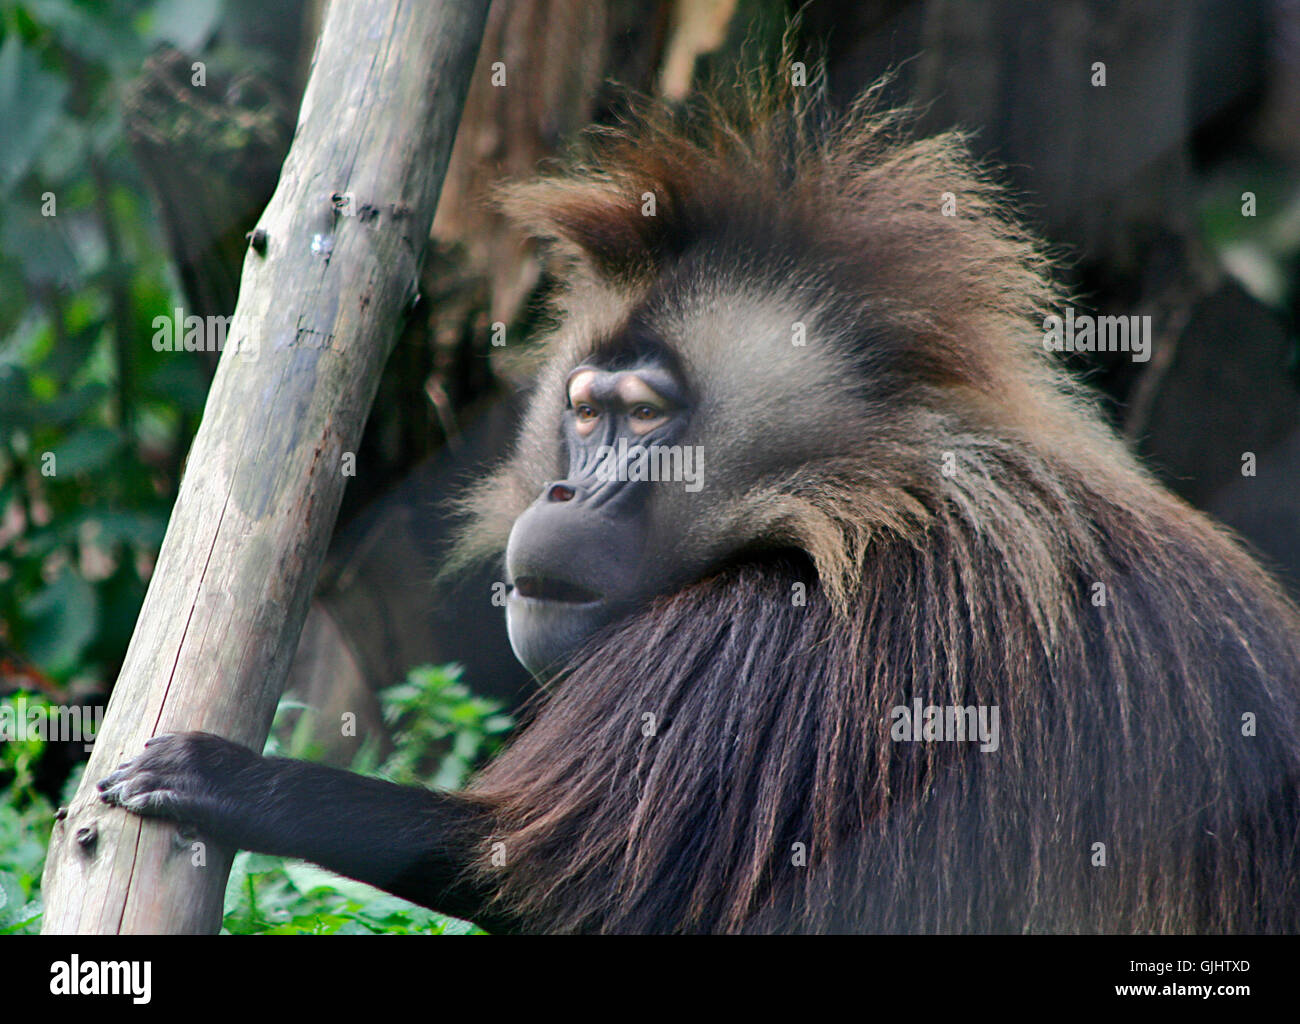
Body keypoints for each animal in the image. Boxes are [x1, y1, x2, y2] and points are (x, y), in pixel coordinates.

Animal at [98, 72, 1300, 934]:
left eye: (644, 416)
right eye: (586, 411)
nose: (563, 487)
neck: (849, 491)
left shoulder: (776, 634)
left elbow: (541, 877)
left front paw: (240, 782)